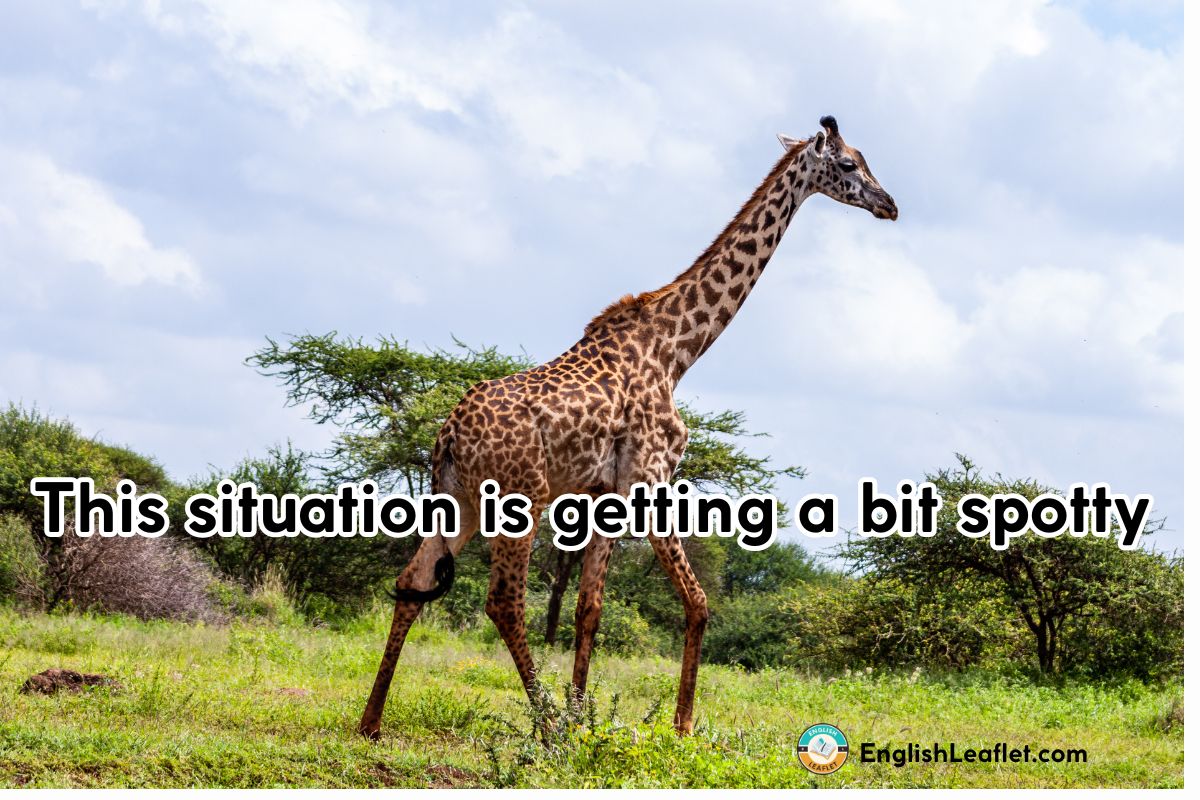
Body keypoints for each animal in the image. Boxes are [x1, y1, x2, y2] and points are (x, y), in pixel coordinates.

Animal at [358, 115, 897, 739]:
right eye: (850, 164)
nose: (889, 205)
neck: (676, 350)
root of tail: (447, 435)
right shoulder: (649, 479)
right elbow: (698, 602)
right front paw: (679, 726)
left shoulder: (603, 494)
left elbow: (588, 607)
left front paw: (583, 717)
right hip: (521, 498)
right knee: (503, 602)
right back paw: (546, 729)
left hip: (461, 501)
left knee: (412, 581)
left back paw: (372, 722)